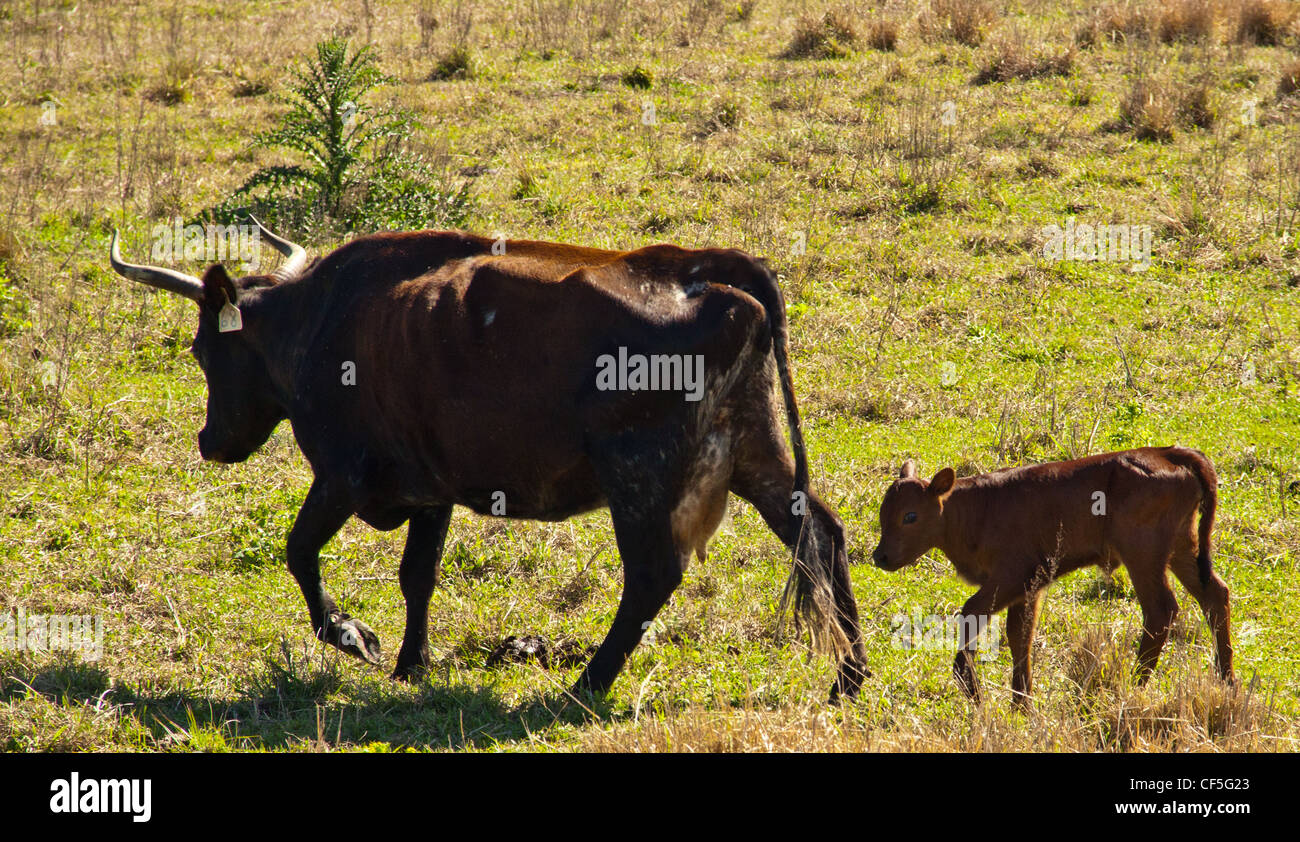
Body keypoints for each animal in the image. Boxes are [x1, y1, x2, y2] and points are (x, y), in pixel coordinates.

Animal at [108, 217, 870, 703]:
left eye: (205, 349)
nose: (210, 442)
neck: (319, 319)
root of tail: (701, 267)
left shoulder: (342, 477)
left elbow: (299, 552)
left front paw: (353, 636)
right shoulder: (430, 489)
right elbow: (417, 576)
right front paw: (411, 665)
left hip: (640, 478)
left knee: (653, 576)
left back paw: (585, 686)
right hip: (757, 456)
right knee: (820, 532)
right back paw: (849, 679)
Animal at [871, 447, 1234, 706]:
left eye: (910, 516)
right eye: (883, 513)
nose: (880, 556)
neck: (977, 510)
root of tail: (1168, 452)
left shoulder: (1012, 577)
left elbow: (972, 612)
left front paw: (972, 688)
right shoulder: (1029, 587)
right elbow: (1020, 636)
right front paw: (1022, 704)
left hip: (1144, 555)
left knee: (1161, 610)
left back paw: (1134, 685)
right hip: (1183, 548)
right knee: (1214, 595)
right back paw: (1227, 680)